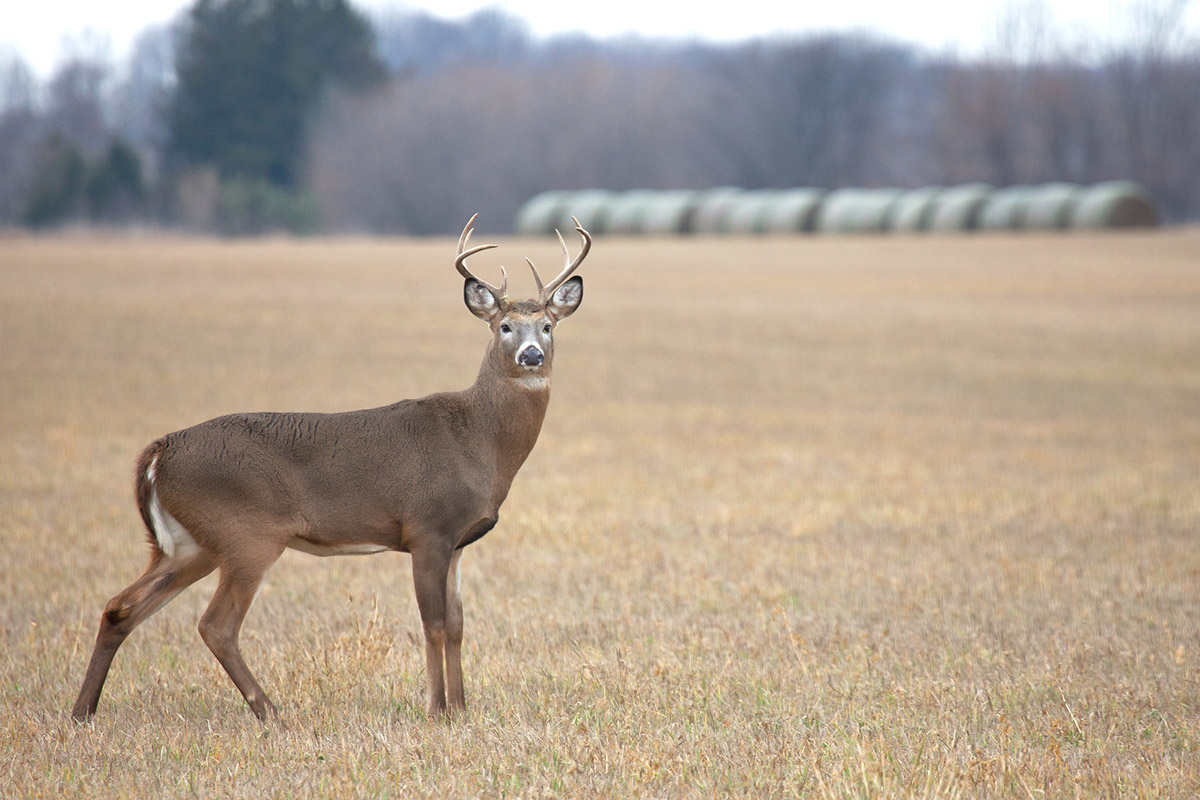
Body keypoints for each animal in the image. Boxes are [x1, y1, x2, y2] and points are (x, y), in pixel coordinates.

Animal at [71, 215, 591, 722]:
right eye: (504, 326)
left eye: (547, 325)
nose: (531, 355)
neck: (478, 440)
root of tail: (159, 451)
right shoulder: (426, 528)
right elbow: (434, 623)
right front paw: (437, 710)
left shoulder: (458, 541)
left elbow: (460, 623)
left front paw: (462, 709)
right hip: (246, 535)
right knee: (216, 625)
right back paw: (272, 714)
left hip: (187, 543)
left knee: (120, 608)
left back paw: (82, 712)